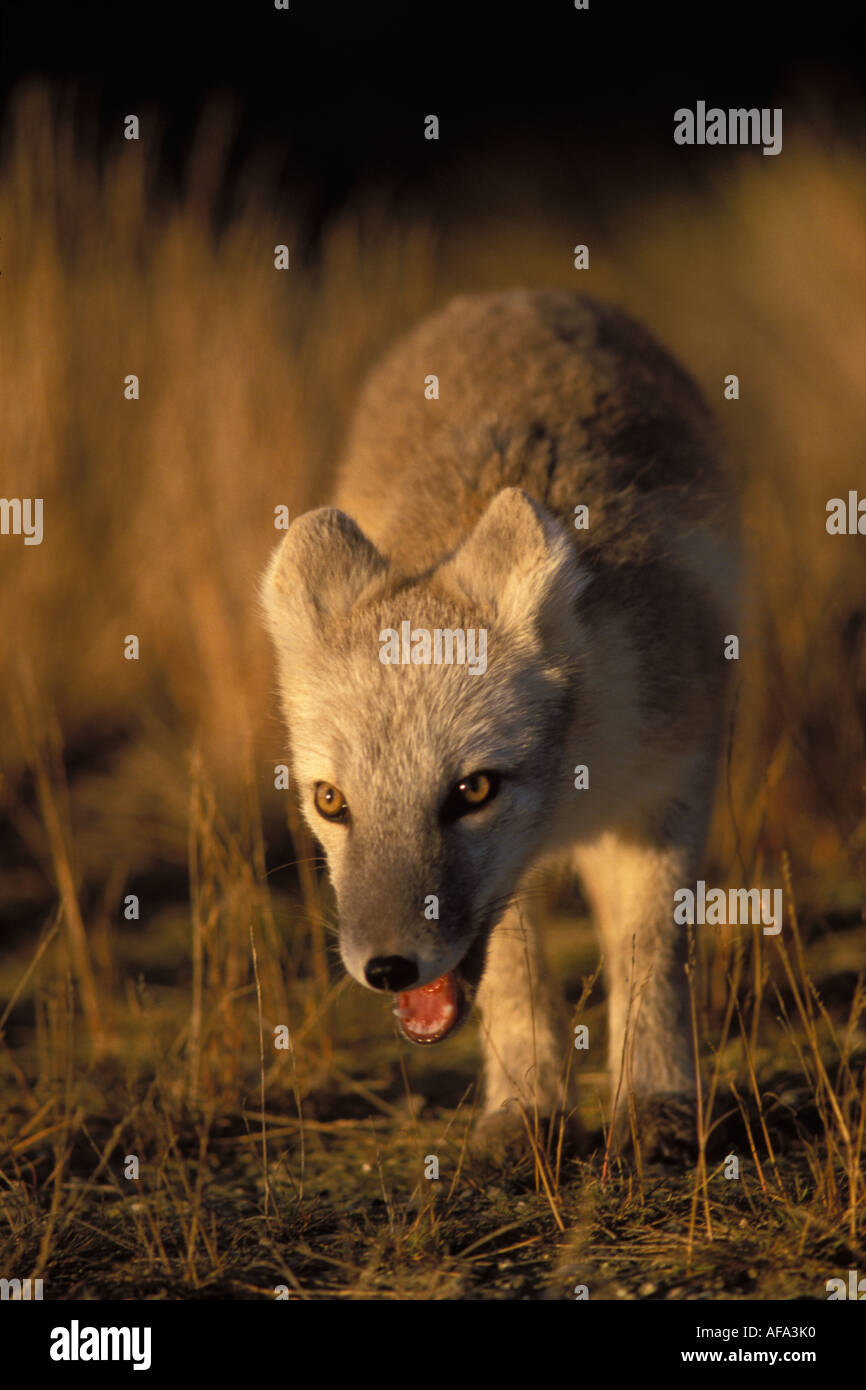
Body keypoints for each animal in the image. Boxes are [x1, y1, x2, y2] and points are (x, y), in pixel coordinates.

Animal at [261, 289, 740, 1159]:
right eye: (331, 803)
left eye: (472, 792)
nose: (388, 970)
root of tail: (519, 295)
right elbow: (517, 979)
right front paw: (526, 1108)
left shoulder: (670, 790)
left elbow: (652, 953)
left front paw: (655, 1100)